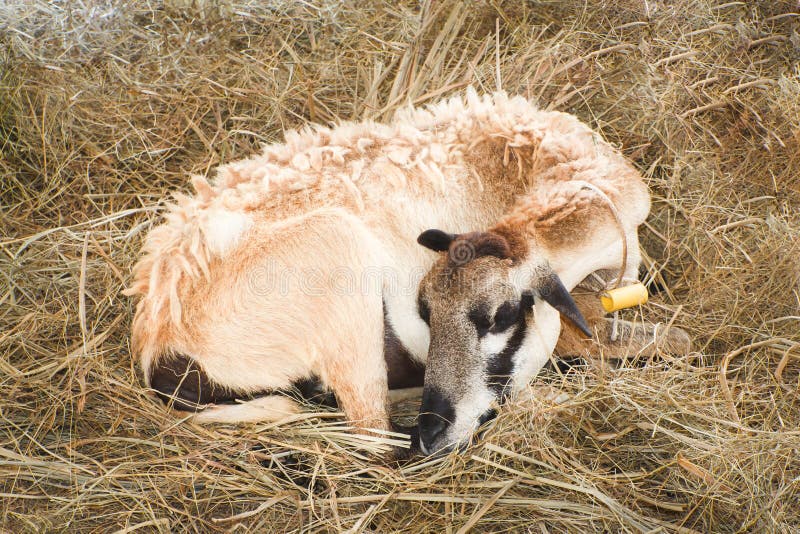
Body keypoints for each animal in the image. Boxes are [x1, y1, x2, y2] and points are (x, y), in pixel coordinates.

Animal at [126, 89, 689, 454]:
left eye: (500, 317)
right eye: (425, 311)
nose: (431, 434)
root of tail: (159, 343)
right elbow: (665, 340)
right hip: (340, 265)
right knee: (372, 445)